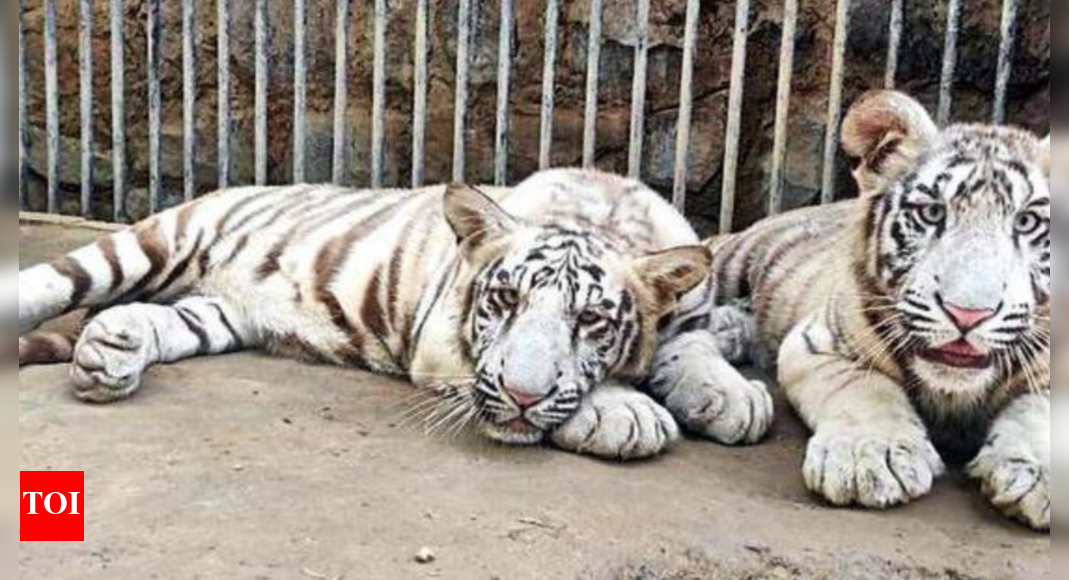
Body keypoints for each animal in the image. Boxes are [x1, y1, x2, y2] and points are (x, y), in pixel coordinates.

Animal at [16, 169, 773, 460]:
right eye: (504, 301)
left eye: (590, 321)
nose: (524, 399)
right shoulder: (444, 342)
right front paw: (623, 411)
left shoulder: (686, 315)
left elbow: (693, 346)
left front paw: (731, 394)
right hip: (150, 243)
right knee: (50, 281)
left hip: (220, 312)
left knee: (160, 322)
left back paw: (110, 350)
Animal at [709, 91, 1050, 531]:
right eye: (932, 213)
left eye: (1027, 222)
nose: (967, 314)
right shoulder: (822, 343)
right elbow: (864, 389)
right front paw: (869, 457)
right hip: (731, 259)